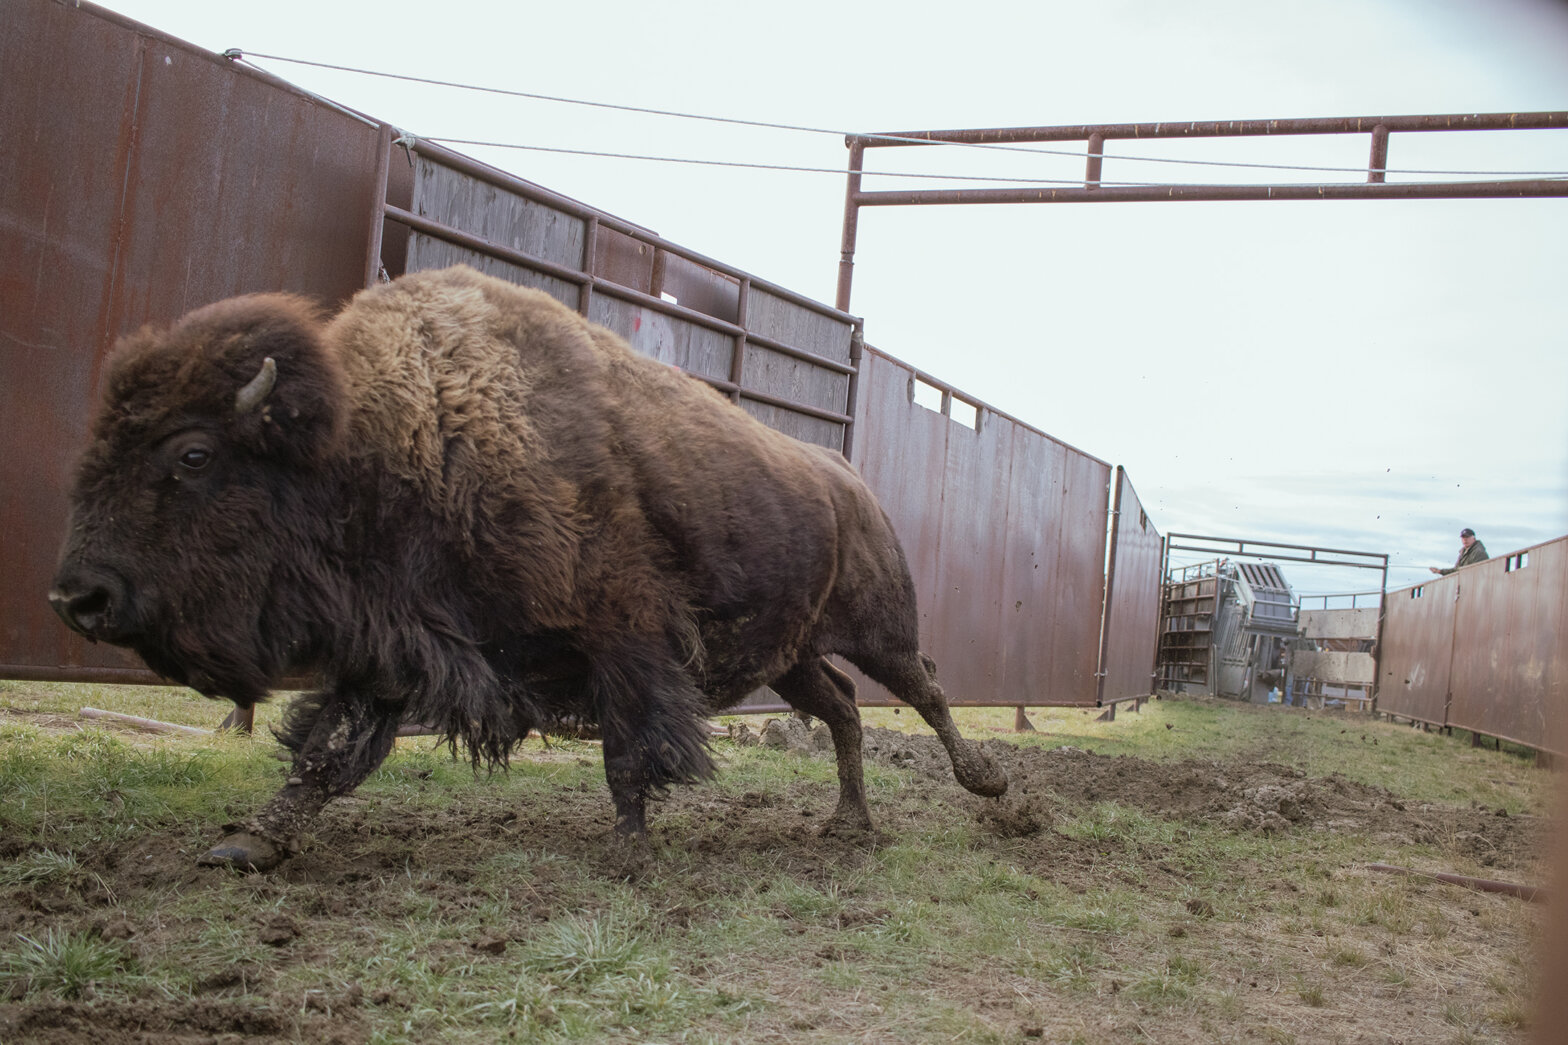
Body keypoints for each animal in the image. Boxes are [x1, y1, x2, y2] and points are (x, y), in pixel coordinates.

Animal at [49, 265, 1006, 871]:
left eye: (194, 454)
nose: (76, 595)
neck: (398, 435)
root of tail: (851, 482)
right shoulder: (391, 643)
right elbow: (327, 751)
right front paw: (248, 842)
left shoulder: (624, 638)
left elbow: (631, 751)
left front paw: (628, 853)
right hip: (792, 655)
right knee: (842, 708)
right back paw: (848, 823)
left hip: (879, 627)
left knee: (923, 689)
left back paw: (991, 787)